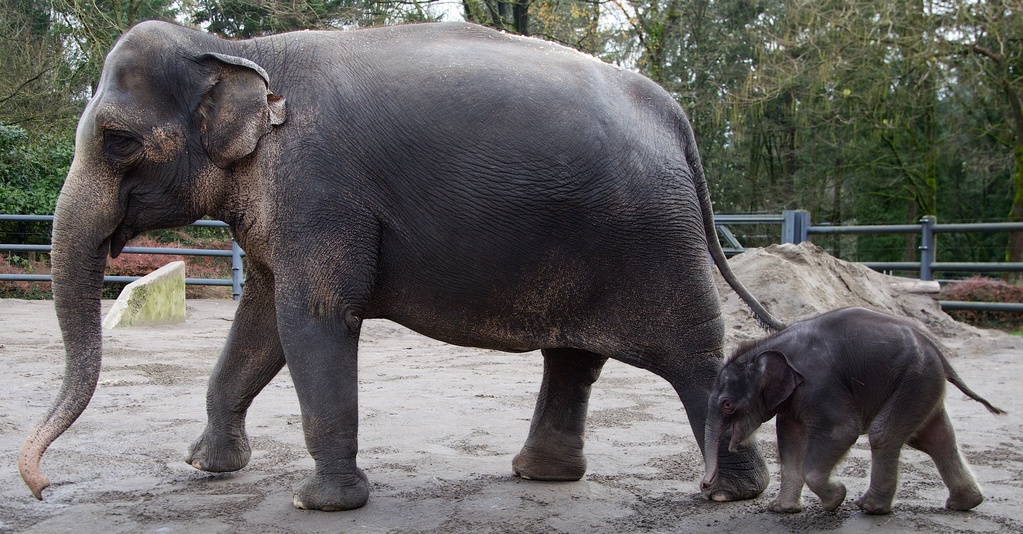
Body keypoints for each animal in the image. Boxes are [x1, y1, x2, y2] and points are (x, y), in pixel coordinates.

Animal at [18, 20, 786, 511]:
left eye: (117, 141)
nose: (42, 486)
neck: (240, 54)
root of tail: (674, 116)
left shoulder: (319, 193)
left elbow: (312, 318)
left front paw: (320, 504)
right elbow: (260, 323)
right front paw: (206, 467)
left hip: (651, 240)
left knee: (692, 354)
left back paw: (733, 493)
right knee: (573, 357)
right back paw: (541, 477)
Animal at [701, 307, 1006, 515]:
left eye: (727, 404)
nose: (705, 487)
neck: (770, 345)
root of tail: (939, 352)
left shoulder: (820, 385)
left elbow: (842, 431)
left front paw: (835, 500)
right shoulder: (792, 401)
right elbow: (790, 442)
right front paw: (781, 509)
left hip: (915, 379)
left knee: (886, 434)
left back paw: (869, 507)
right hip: (922, 384)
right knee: (935, 438)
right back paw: (964, 503)